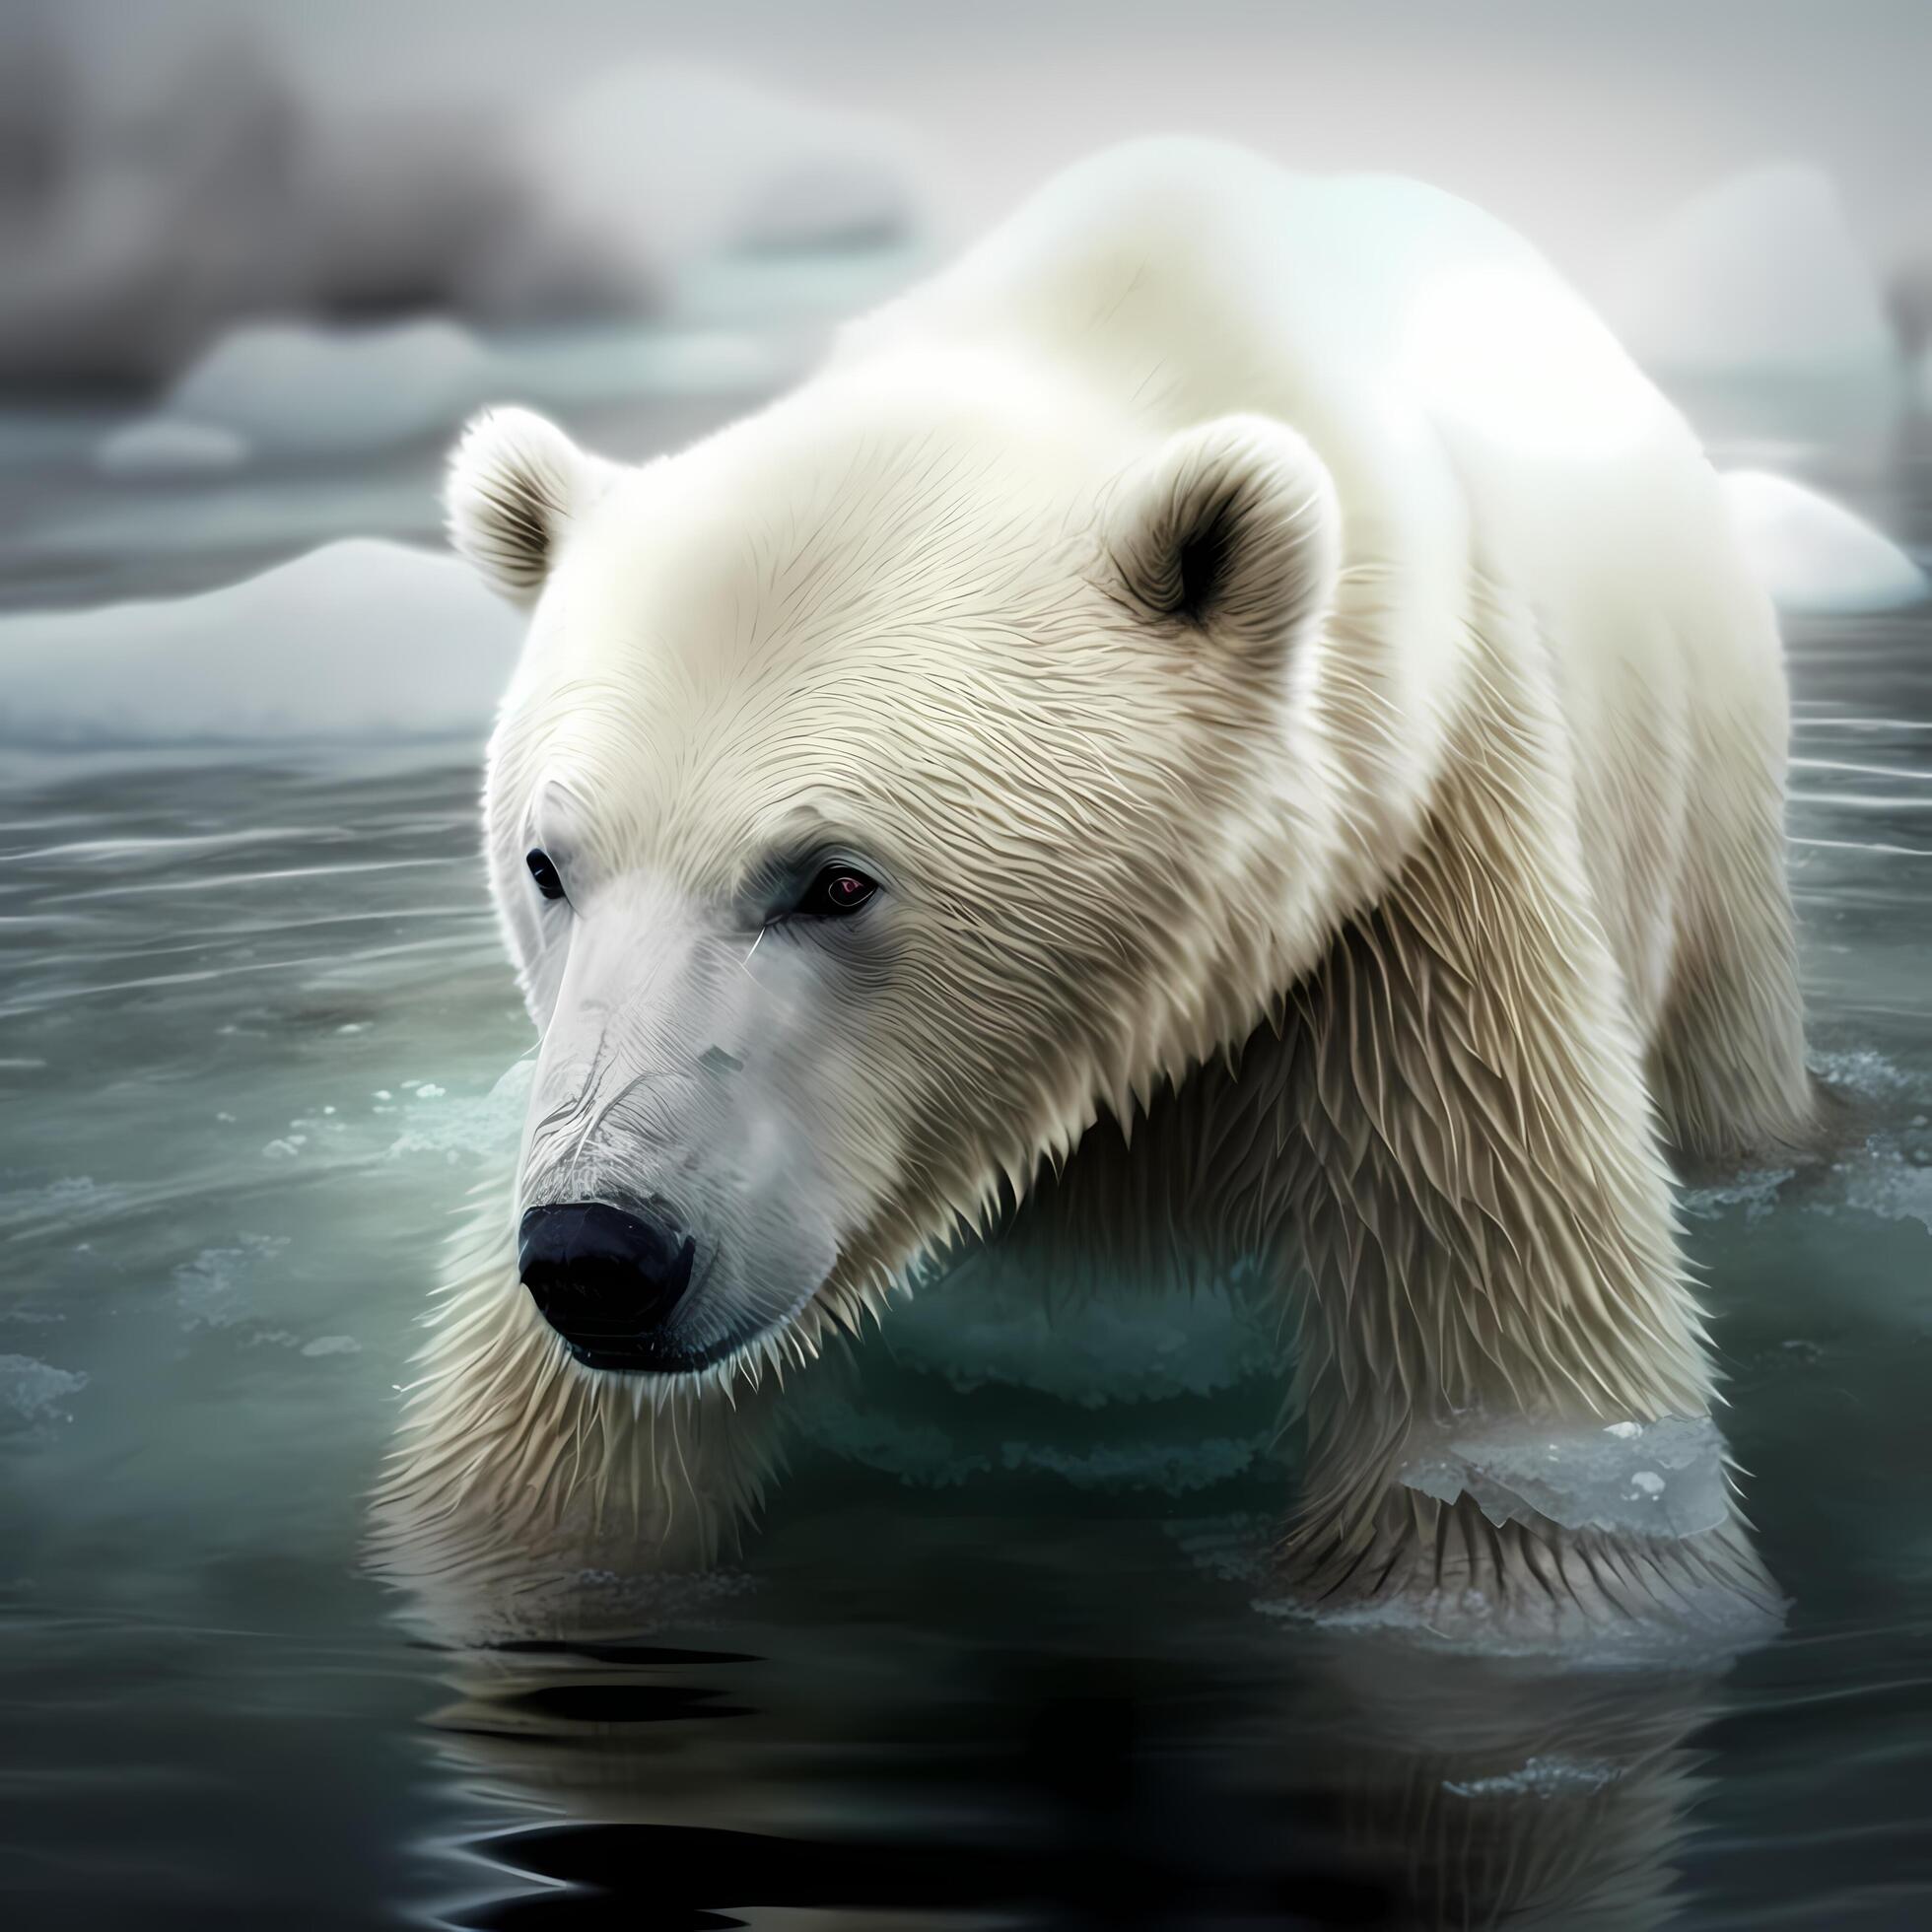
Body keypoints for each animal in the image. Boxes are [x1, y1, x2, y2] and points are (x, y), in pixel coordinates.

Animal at [373, 140, 1812, 1645]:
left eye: (833, 880)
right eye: (549, 864)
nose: (599, 1251)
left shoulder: (1415, 902)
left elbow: (1508, 1451)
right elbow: (543, 1470)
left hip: (1706, 785)